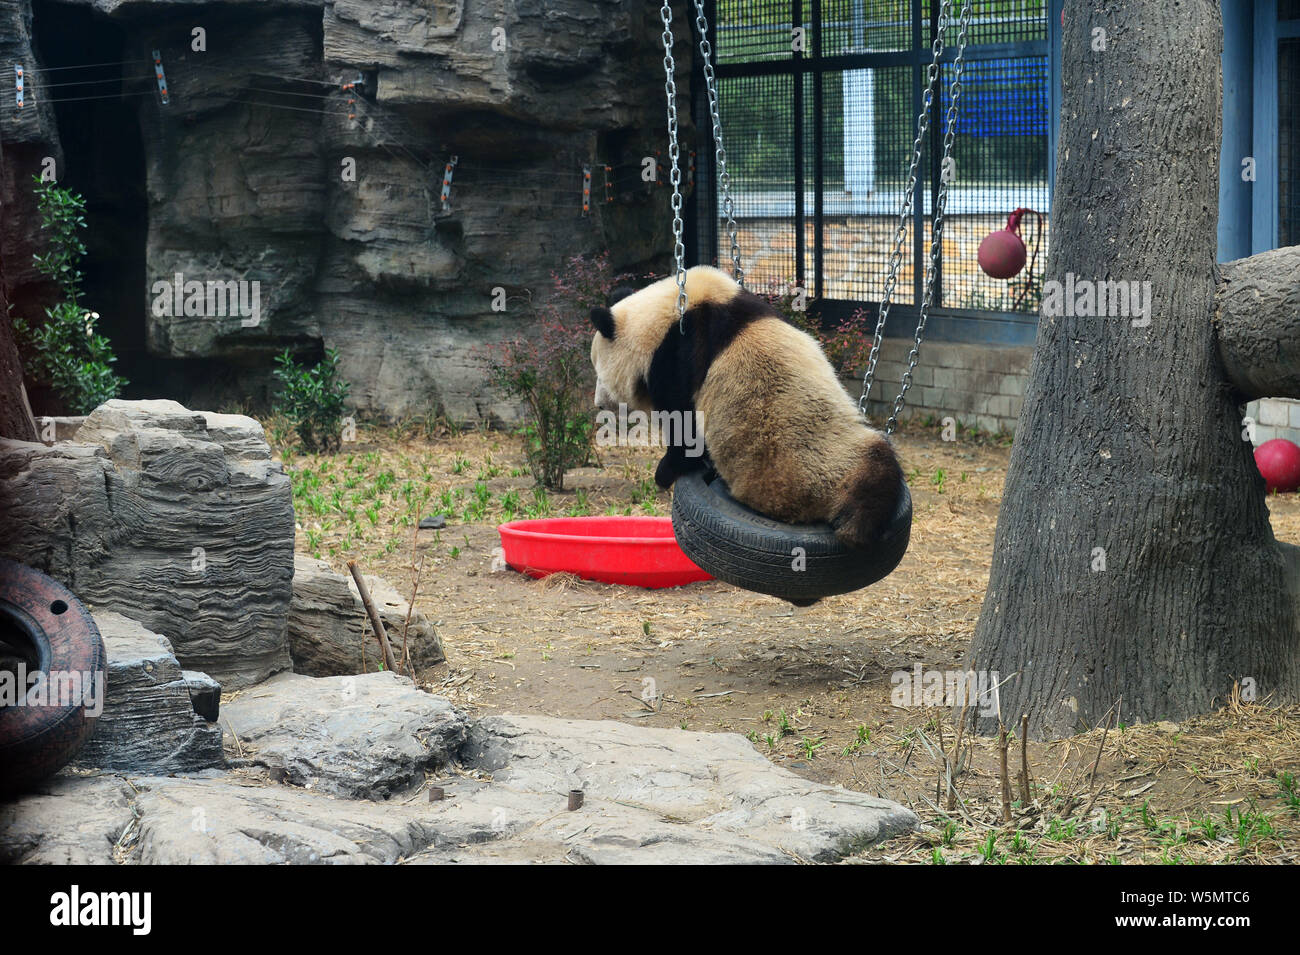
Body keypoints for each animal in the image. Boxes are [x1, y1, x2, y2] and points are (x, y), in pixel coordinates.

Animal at [589, 265, 903, 548]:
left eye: (598, 371)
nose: (598, 403)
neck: (669, 312)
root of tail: (834, 499)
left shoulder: (675, 361)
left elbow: (684, 429)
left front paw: (666, 470)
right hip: (854, 446)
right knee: (880, 469)